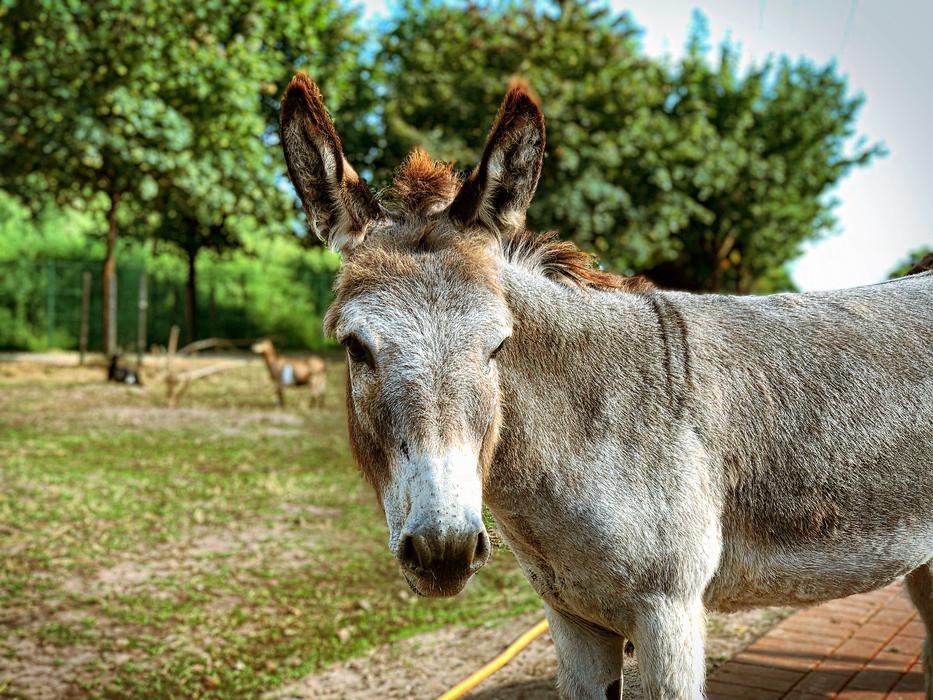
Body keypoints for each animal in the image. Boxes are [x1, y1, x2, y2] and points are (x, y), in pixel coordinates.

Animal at [279, 73, 933, 699]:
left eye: (498, 346)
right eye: (354, 347)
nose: (445, 550)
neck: (586, 430)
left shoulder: (670, 615)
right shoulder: (573, 620)